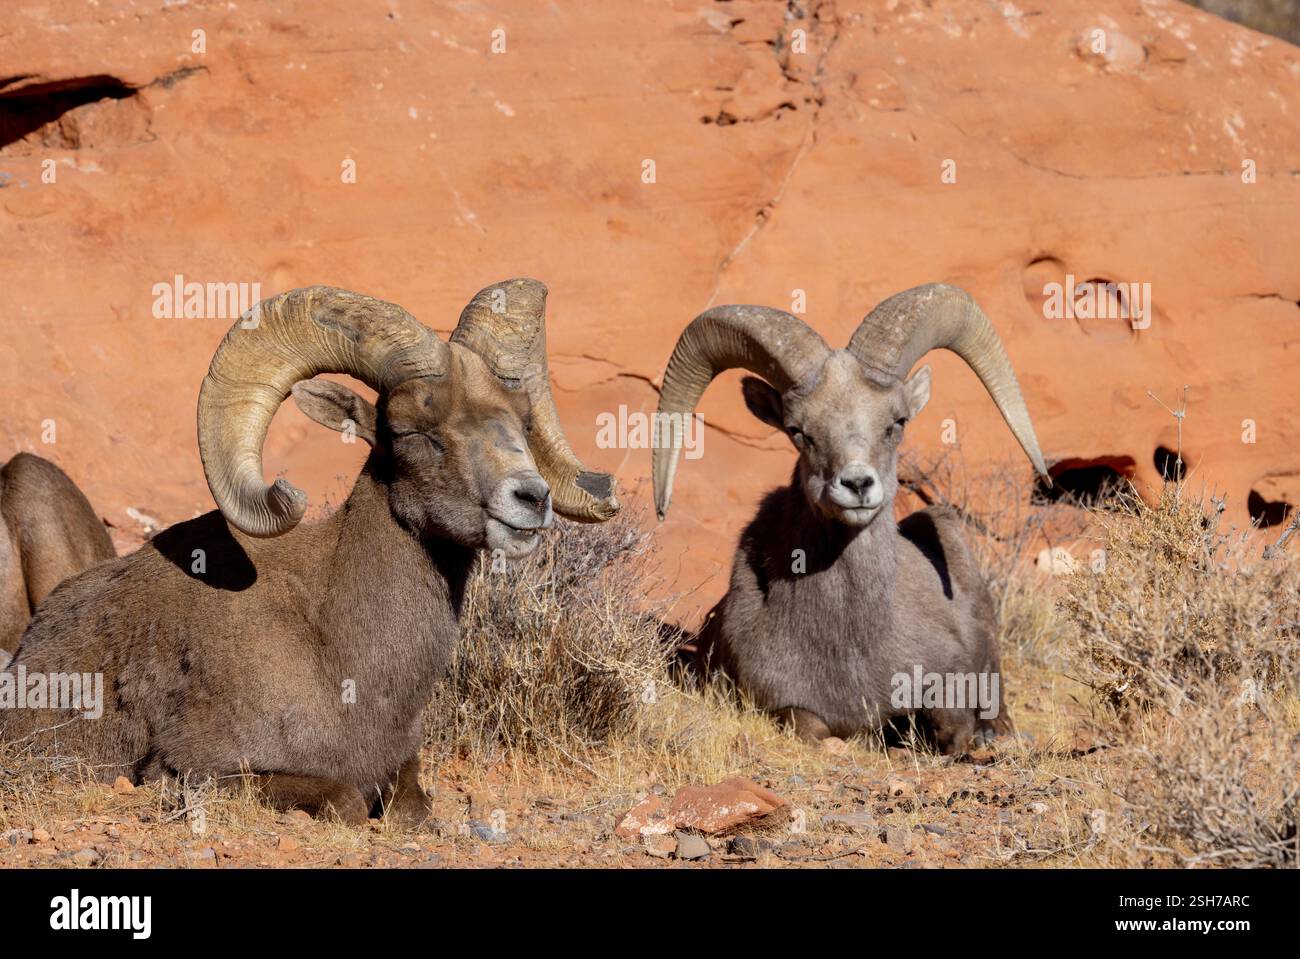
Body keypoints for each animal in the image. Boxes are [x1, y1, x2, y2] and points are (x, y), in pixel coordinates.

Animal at [652, 284, 1050, 753]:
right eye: (798, 431)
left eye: (897, 422)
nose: (857, 484)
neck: (853, 645)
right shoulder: (781, 705)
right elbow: (810, 726)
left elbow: (953, 724)